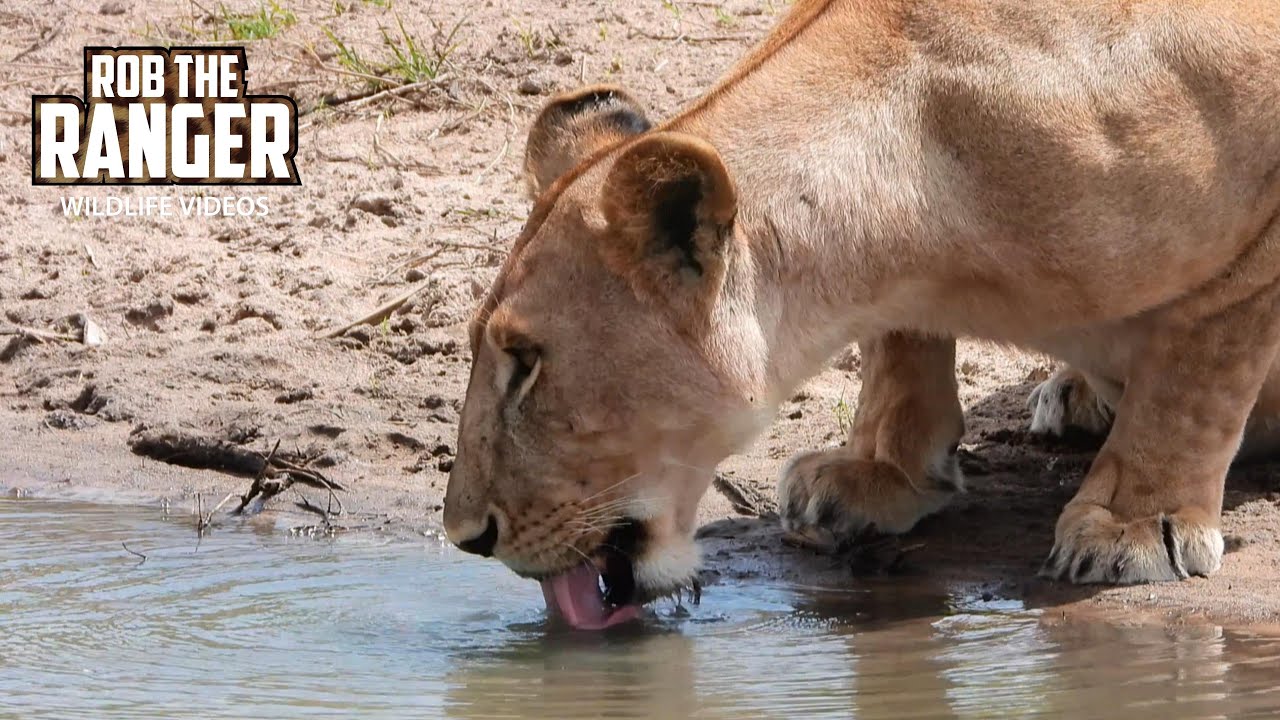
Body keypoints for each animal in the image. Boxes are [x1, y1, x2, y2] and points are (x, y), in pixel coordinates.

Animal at [443, 0, 1280, 629]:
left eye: (526, 362)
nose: (465, 537)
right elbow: (898, 349)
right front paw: (880, 471)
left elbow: (1194, 380)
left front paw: (1132, 526)